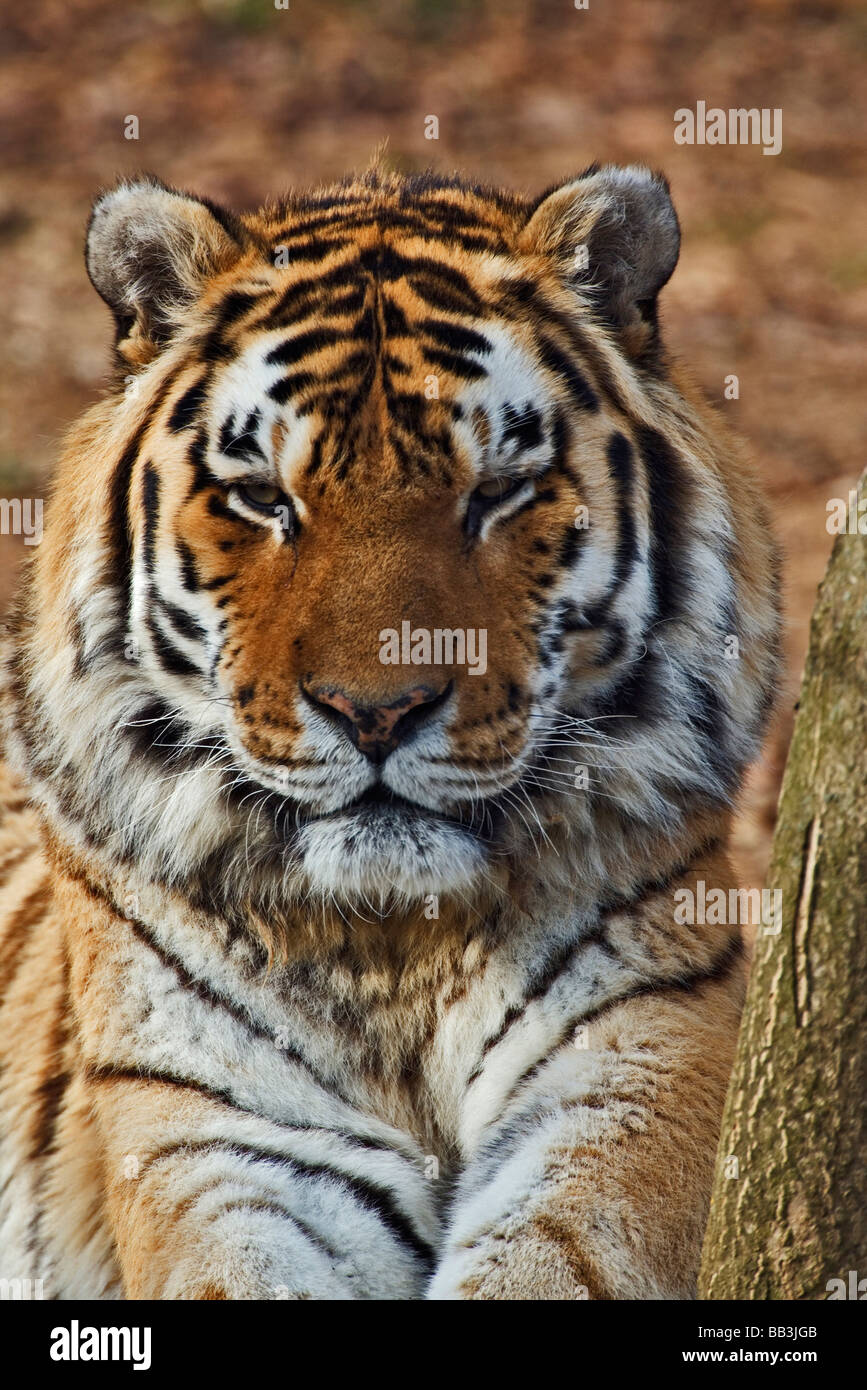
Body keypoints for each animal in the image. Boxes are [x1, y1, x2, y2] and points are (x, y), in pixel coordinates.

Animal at [0, 163, 780, 1300]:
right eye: (262, 498)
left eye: (498, 491)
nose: (376, 712)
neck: (394, 945)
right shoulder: (224, 1140)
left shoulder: (630, 1078)